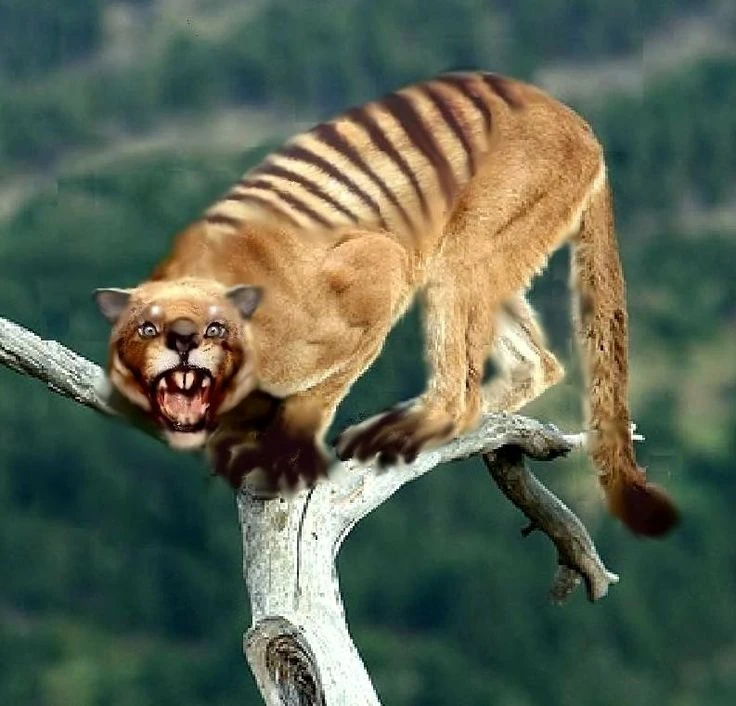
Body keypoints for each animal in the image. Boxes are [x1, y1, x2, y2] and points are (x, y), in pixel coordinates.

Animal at [95, 71, 678, 537]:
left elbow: (322, 389)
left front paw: (281, 450)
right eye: (144, 331)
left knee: (461, 390)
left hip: (459, 256)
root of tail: (575, 119)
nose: (182, 346)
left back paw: (411, 426)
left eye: (208, 329)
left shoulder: (383, 265)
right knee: (537, 363)